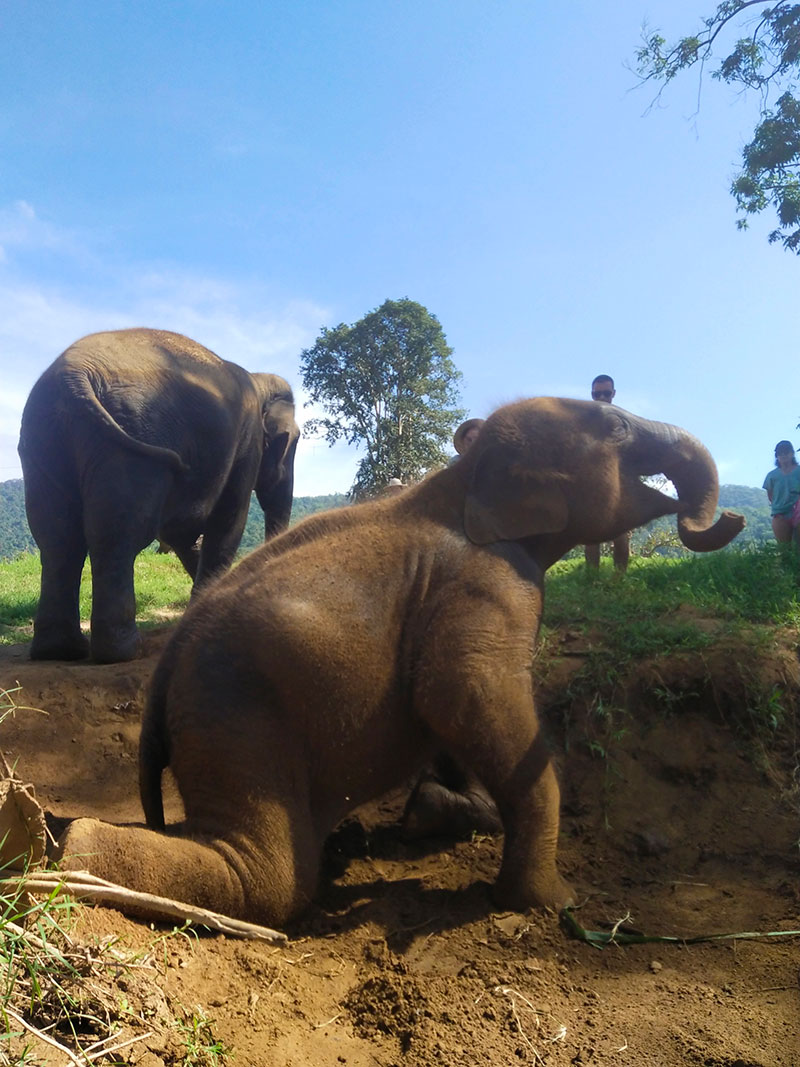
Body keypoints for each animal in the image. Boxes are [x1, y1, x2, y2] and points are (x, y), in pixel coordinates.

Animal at [18, 328, 299, 664]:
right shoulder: (247, 442)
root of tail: (73, 376)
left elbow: (183, 534)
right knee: (118, 534)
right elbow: (228, 520)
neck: (258, 380)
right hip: (132, 438)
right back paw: (125, 651)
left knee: (57, 537)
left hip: (45, 438)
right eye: (292, 442)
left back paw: (60, 651)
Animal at [55, 397, 745, 925]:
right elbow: (465, 693)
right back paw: (71, 852)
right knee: (266, 876)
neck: (463, 476)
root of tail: (163, 673)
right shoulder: (489, 584)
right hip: (235, 707)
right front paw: (552, 904)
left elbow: (452, 716)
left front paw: (433, 814)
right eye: (619, 428)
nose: (734, 514)